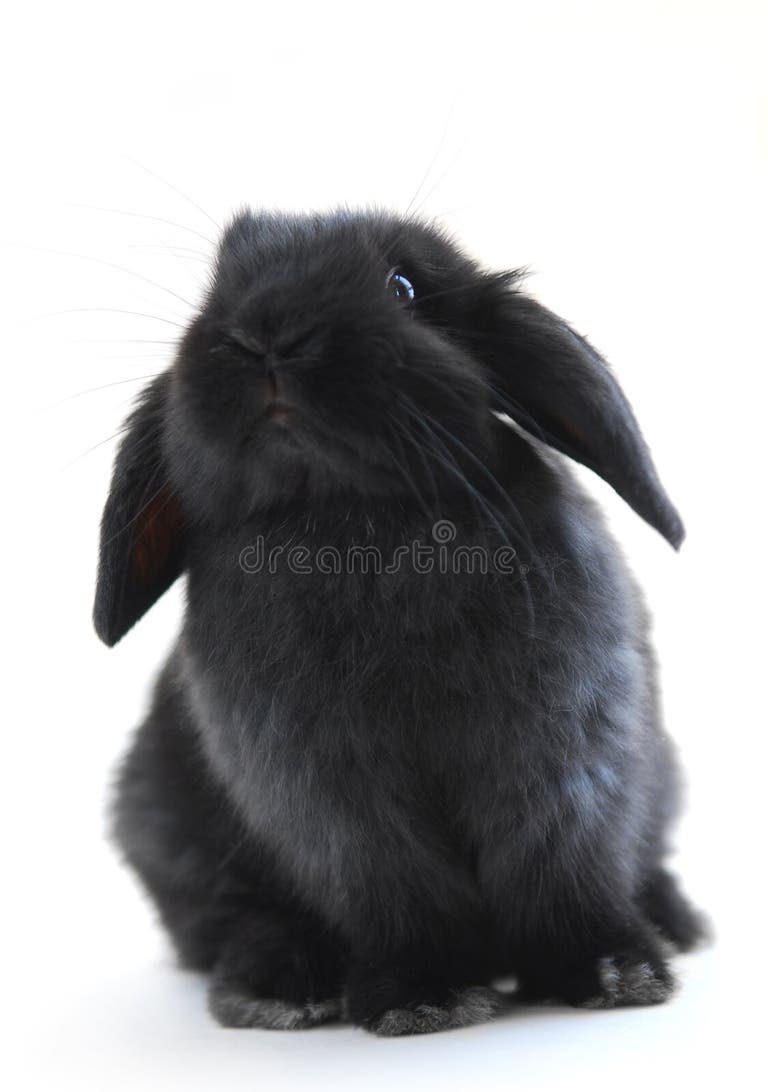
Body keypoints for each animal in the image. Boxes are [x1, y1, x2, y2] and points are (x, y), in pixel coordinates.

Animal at [95, 208, 704, 1035]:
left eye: (403, 286)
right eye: (214, 291)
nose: (265, 332)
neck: (354, 517)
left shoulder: (565, 752)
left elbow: (562, 866)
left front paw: (612, 969)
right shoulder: (328, 796)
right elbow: (397, 885)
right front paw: (425, 994)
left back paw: (676, 922)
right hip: (161, 823)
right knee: (233, 918)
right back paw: (278, 984)